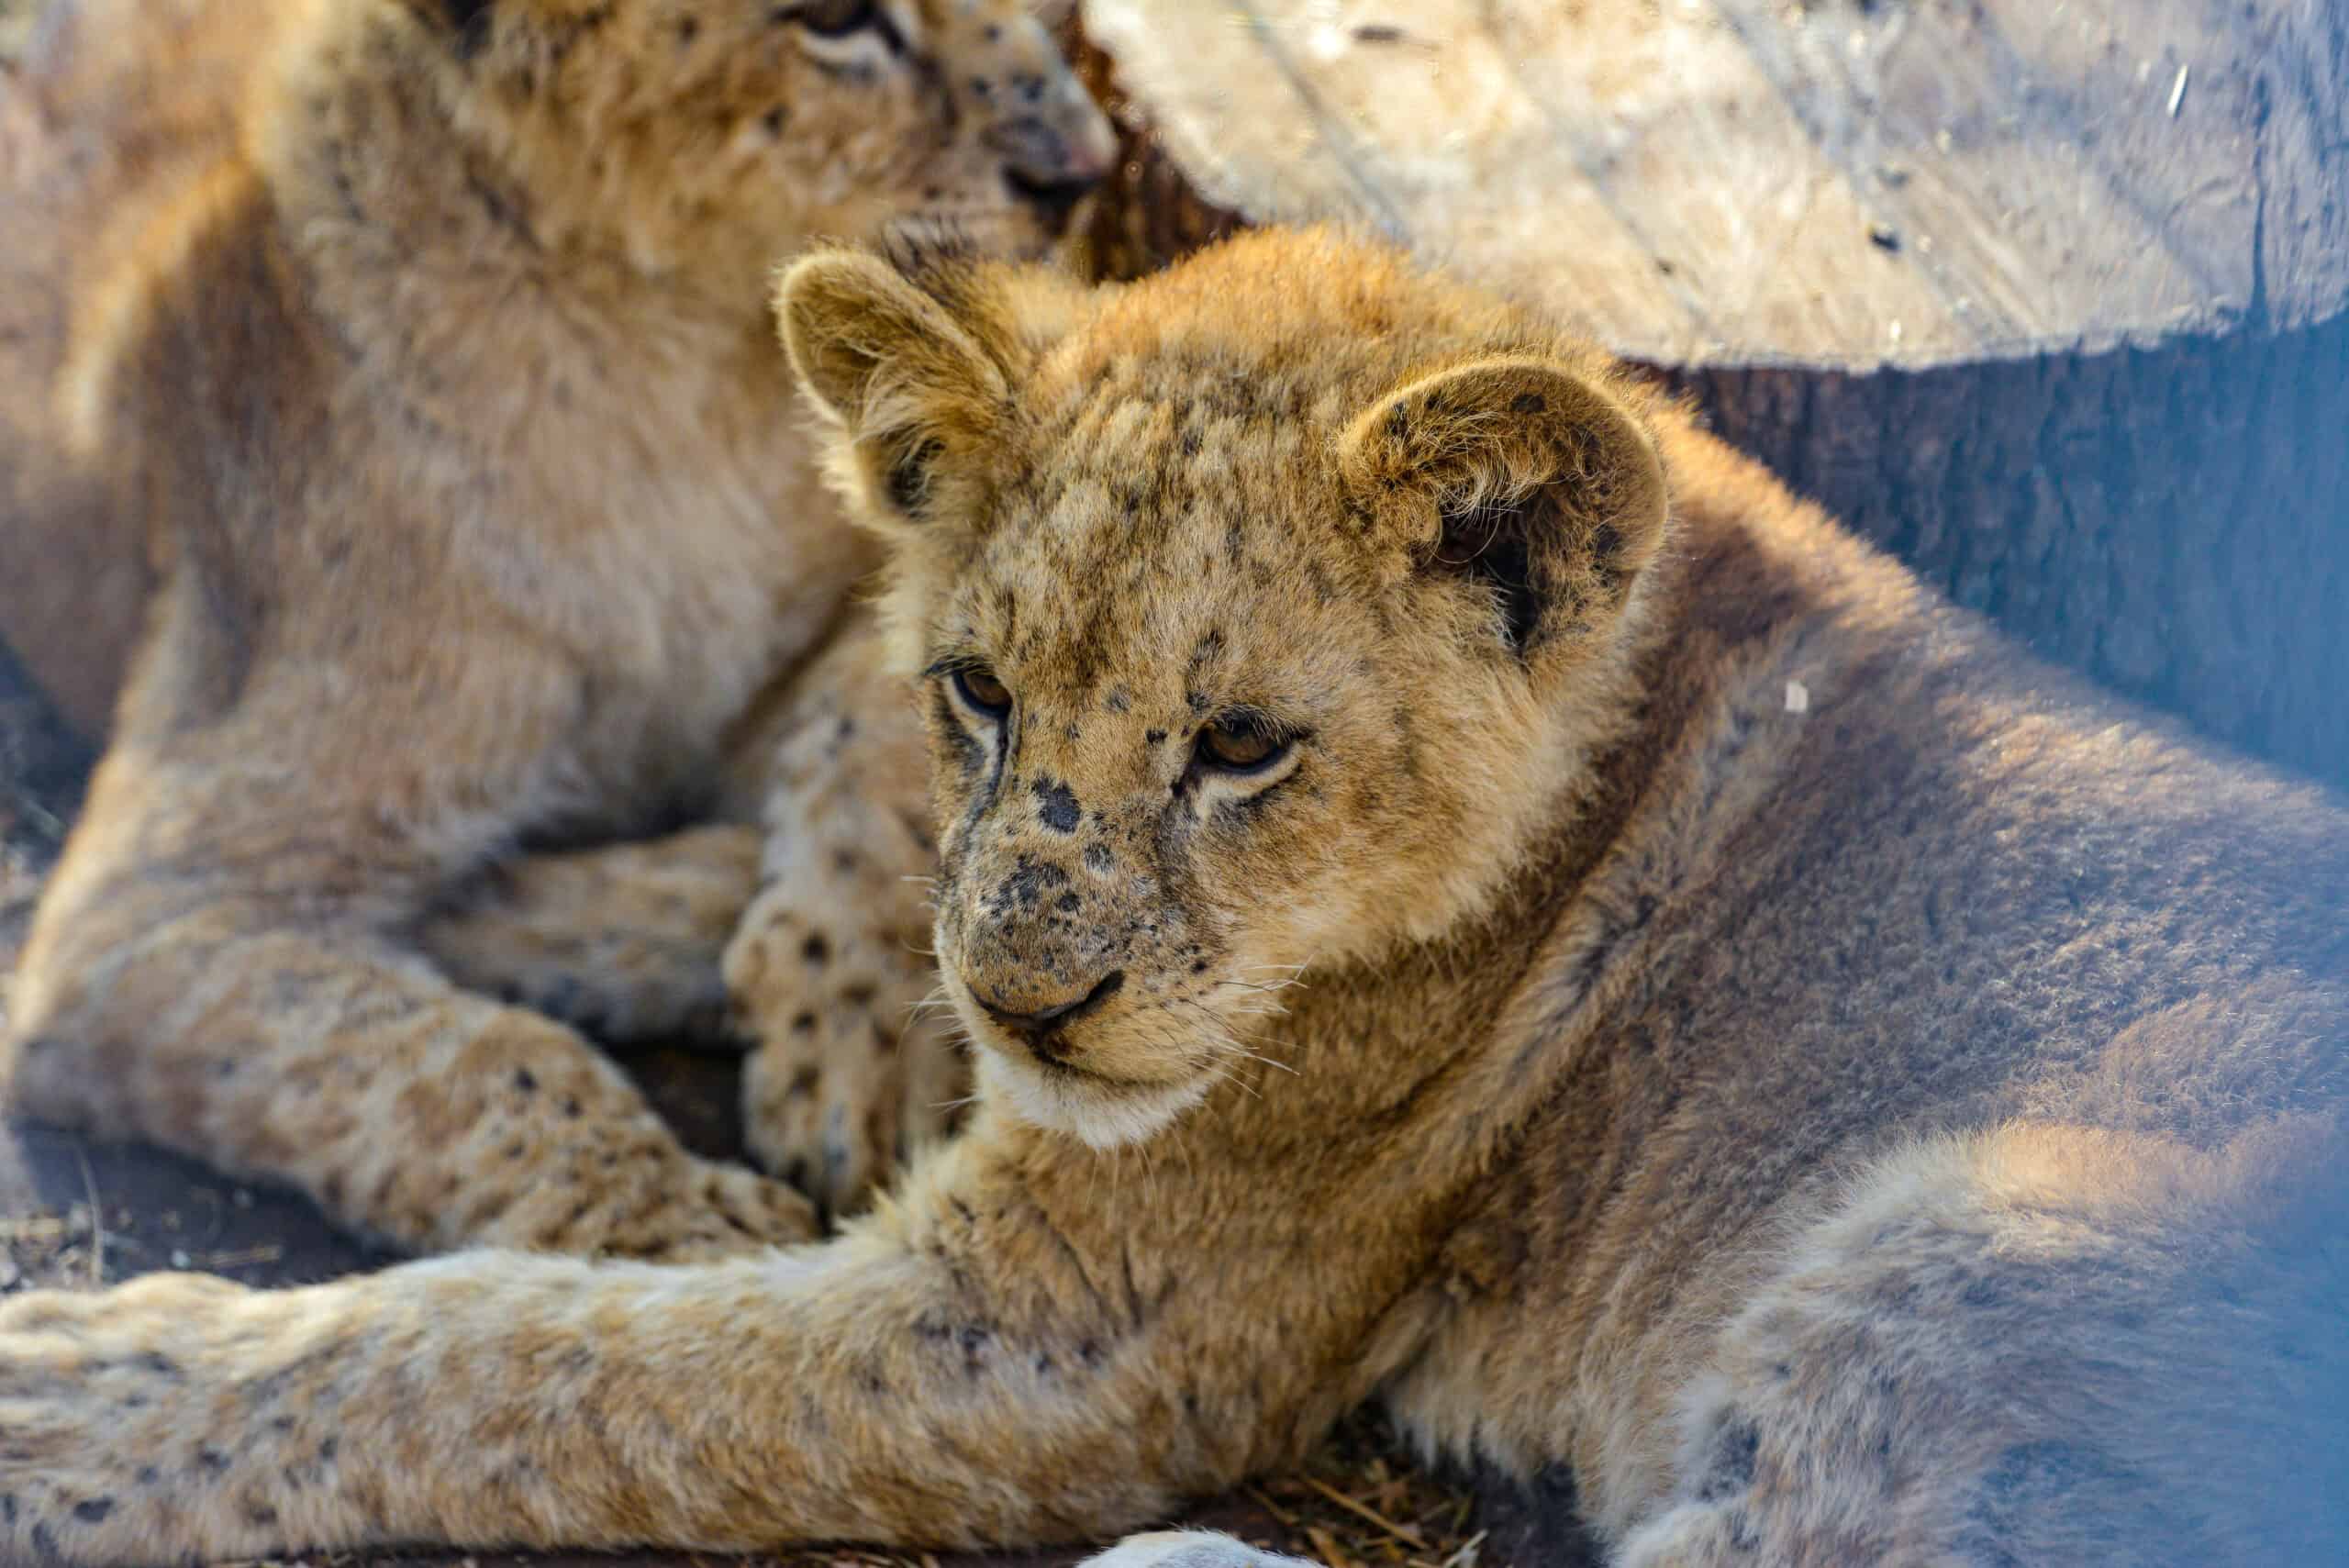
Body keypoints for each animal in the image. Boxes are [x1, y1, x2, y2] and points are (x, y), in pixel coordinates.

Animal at [0, 0, 1112, 1253]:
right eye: (835, 25)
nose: (1090, 168)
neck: (674, 374)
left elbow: (879, 732)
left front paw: (853, 1039)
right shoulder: (137, 916)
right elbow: (458, 1063)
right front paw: (696, 1239)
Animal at [4, 227, 2347, 1567]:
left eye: (1238, 746)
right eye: (972, 690)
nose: (1030, 1012)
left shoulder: (1053, 1330)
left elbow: (517, 1347)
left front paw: (80, 1393)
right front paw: (515, 914)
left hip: (1964, 1237)